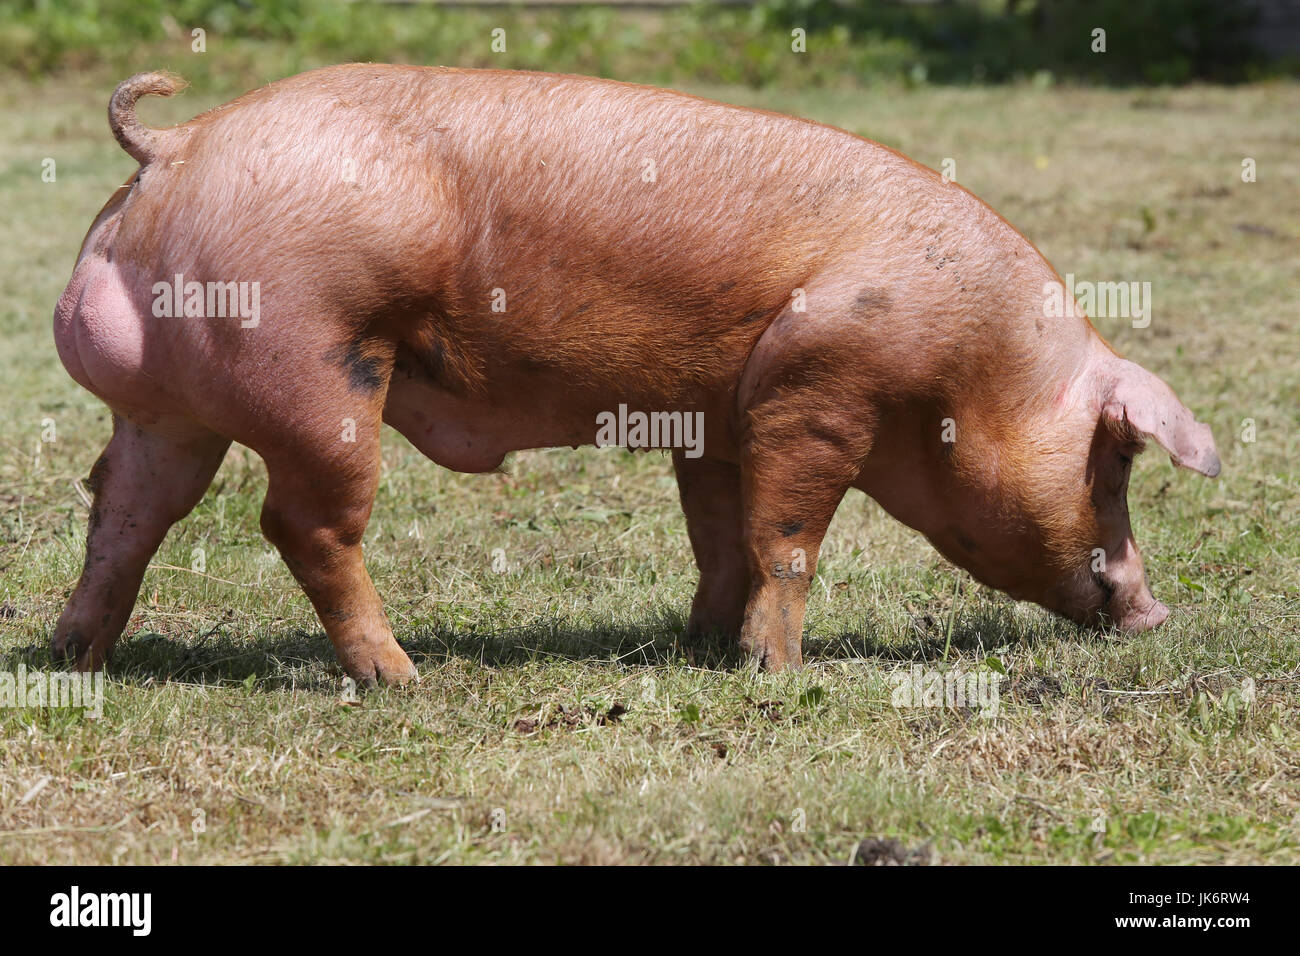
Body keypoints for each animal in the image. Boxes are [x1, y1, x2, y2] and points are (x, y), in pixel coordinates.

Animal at [52, 65, 1220, 684]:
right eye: (1114, 465)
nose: (1157, 612)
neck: (971, 370)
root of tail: (175, 145)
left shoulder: (721, 417)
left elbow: (721, 534)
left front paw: (702, 642)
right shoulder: (816, 390)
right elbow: (786, 538)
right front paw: (777, 672)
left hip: (167, 407)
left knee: (124, 507)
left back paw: (75, 655)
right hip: (319, 372)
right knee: (298, 524)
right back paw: (400, 676)